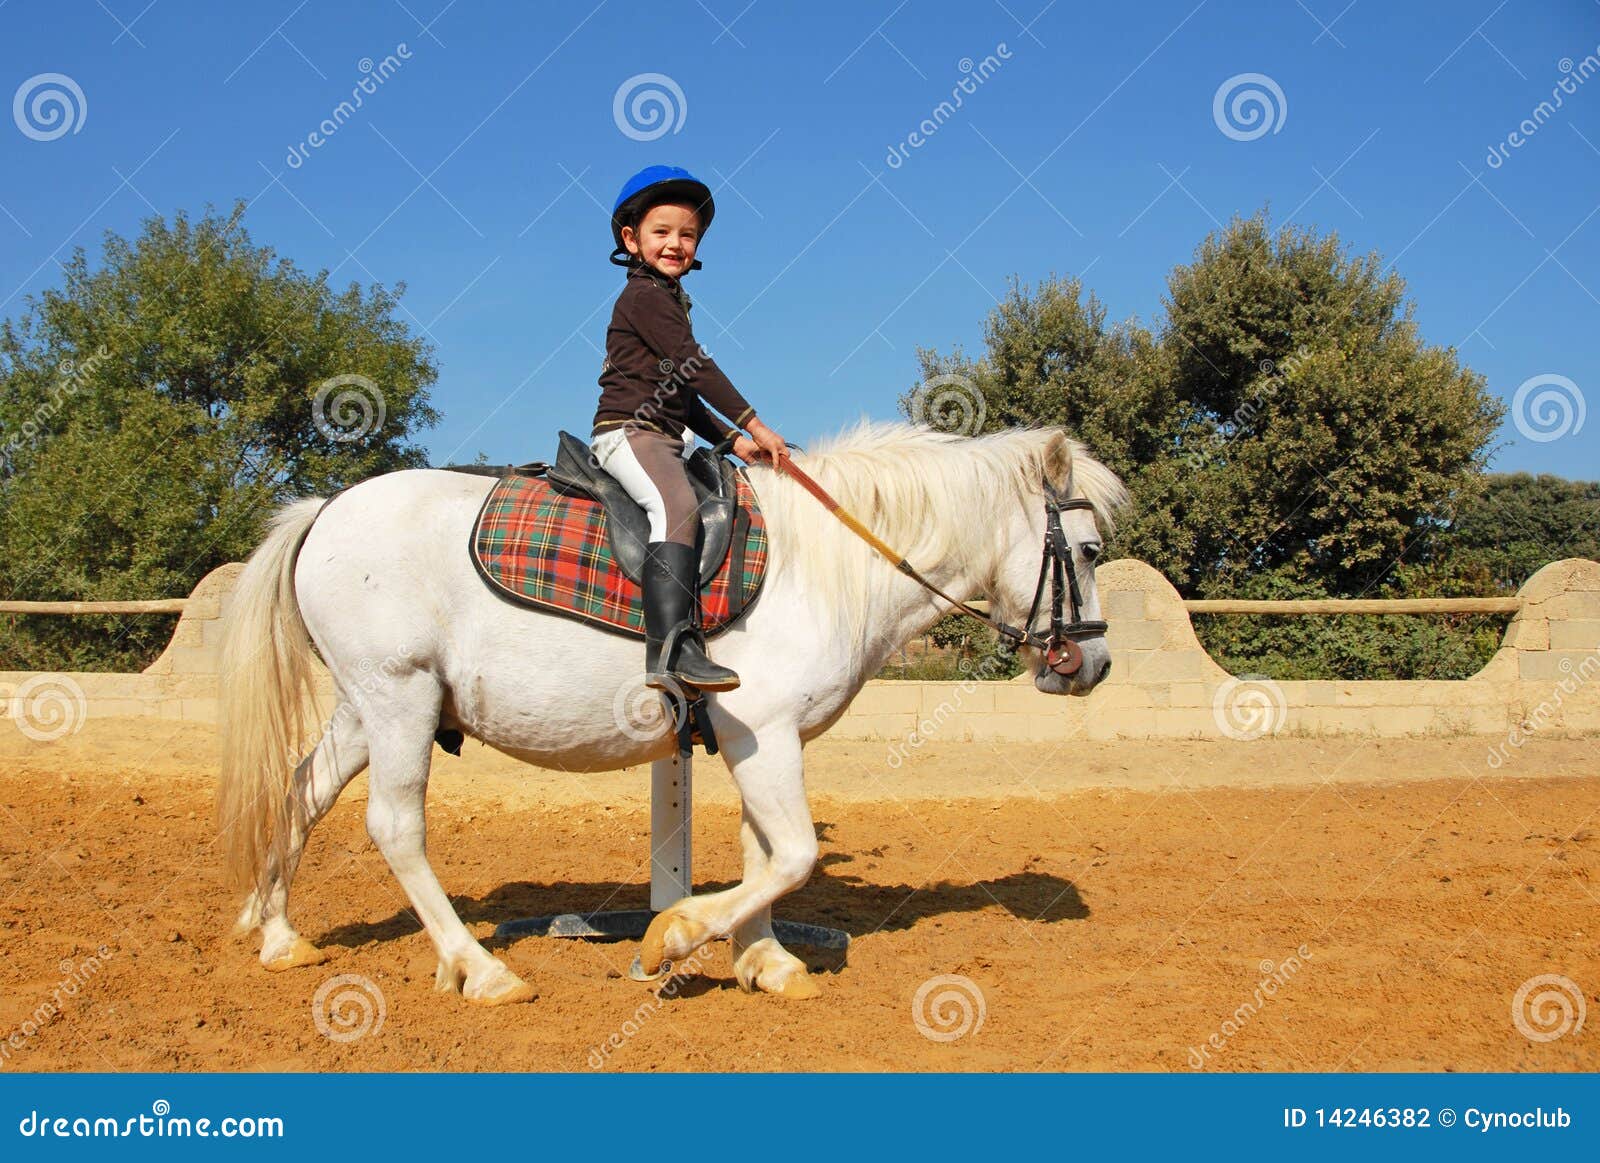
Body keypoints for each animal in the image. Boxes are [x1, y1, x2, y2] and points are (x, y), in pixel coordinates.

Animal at [217, 422, 1128, 1004]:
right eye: (1085, 551)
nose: (1094, 664)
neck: (827, 560)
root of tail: (325, 510)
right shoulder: (762, 727)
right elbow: (793, 853)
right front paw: (674, 939)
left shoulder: (766, 739)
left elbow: (766, 852)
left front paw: (765, 958)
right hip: (399, 699)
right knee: (396, 828)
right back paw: (480, 968)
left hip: (365, 709)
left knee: (302, 793)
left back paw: (277, 933)